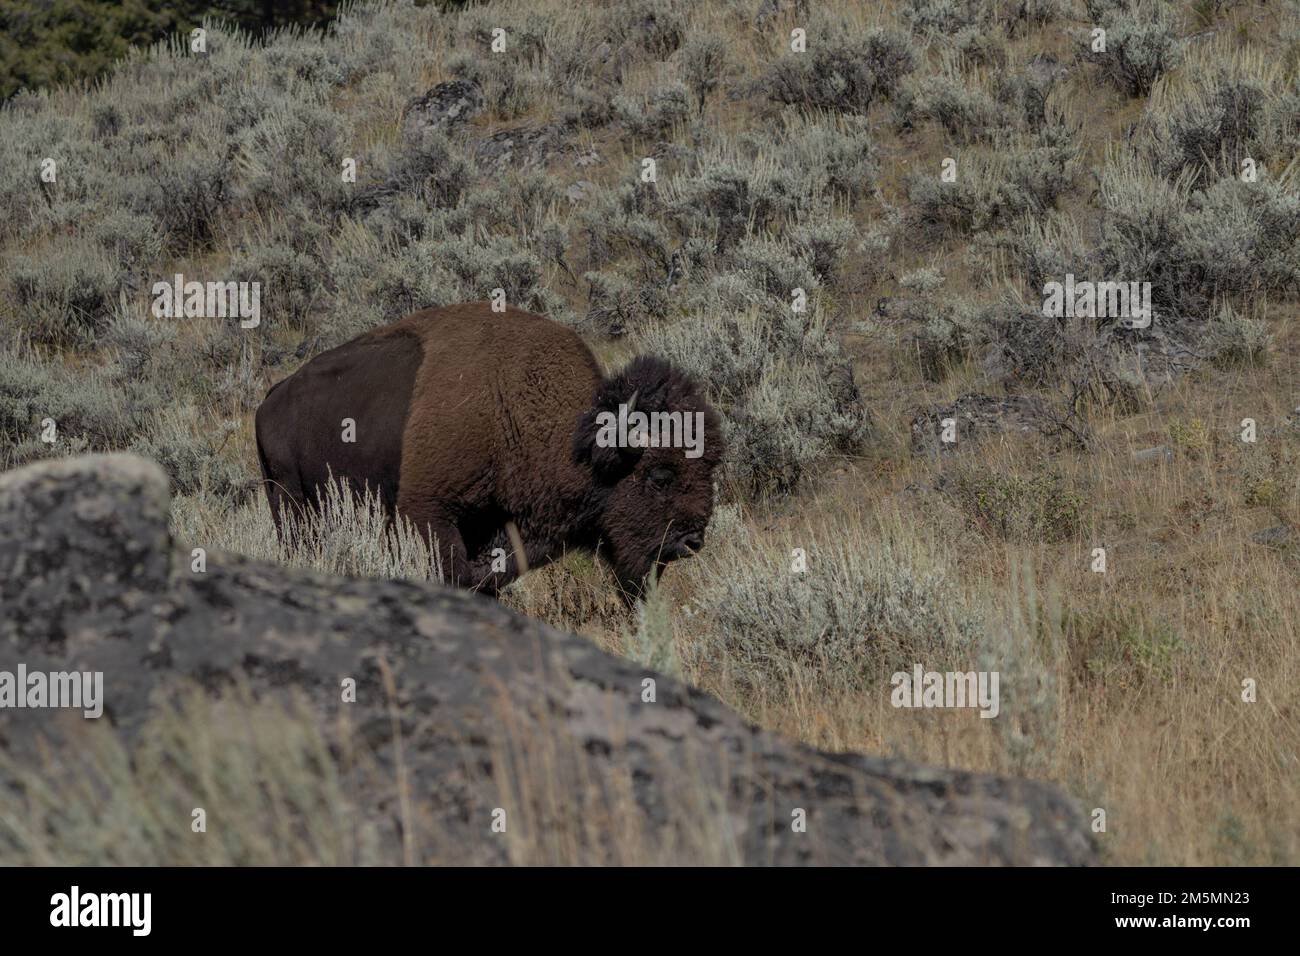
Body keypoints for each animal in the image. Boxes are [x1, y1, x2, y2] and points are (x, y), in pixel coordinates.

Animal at [254, 302, 723, 598]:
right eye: (660, 475)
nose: (692, 540)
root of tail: (270, 400)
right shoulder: (429, 512)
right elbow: (456, 574)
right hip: (292, 506)